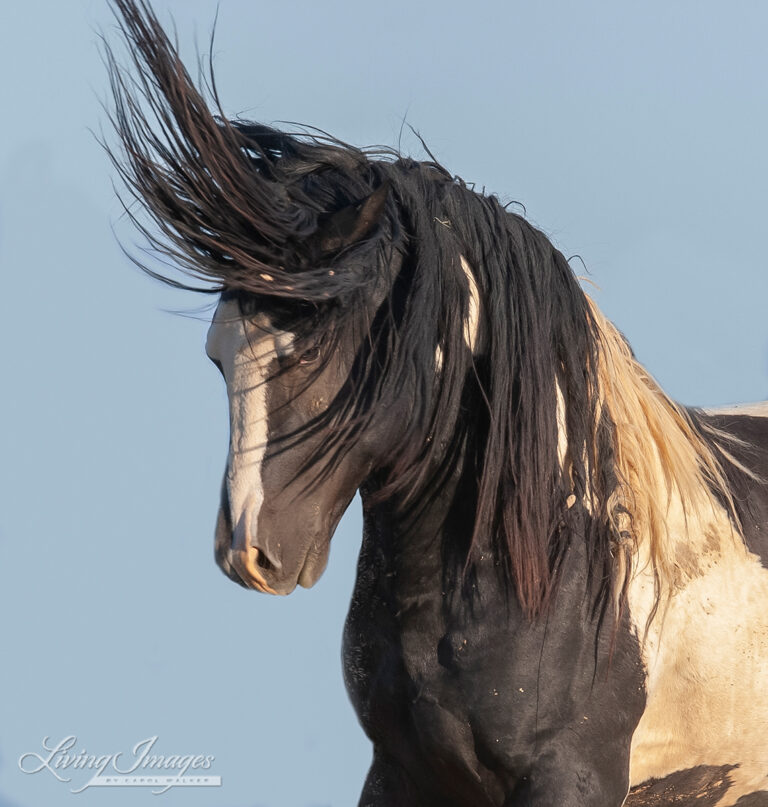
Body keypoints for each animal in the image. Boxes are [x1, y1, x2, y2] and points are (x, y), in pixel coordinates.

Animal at [106, 2, 768, 804]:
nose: (247, 550)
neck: (552, 559)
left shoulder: (570, 777)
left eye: (316, 349)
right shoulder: (400, 770)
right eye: (218, 356)